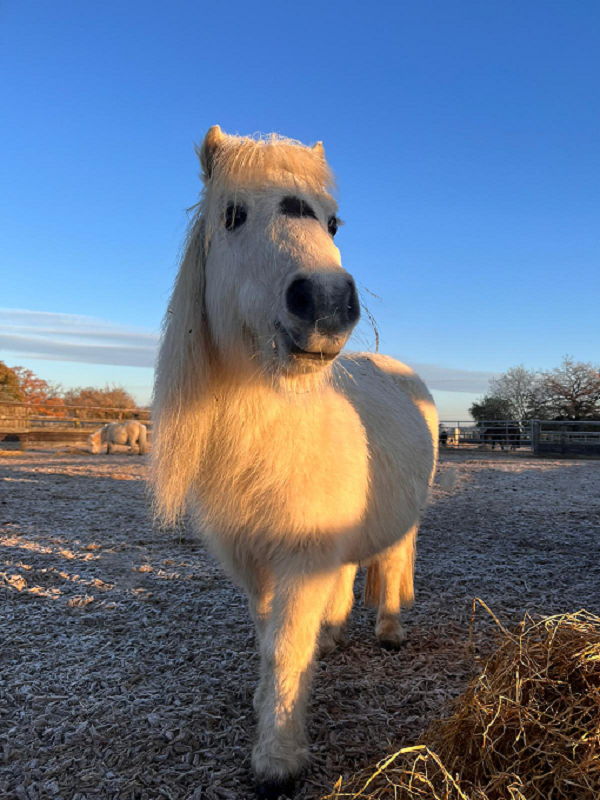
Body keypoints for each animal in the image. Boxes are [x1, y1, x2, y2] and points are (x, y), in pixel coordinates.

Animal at [150, 126, 438, 798]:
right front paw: (273, 705)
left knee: (393, 564)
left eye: (332, 222)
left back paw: (390, 632)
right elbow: (271, 639)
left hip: (402, 526)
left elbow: (285, 647)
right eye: (233, 215)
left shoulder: (301, 559)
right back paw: (333, 636)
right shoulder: (254, 562)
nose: (327, 301)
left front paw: (278, 760)